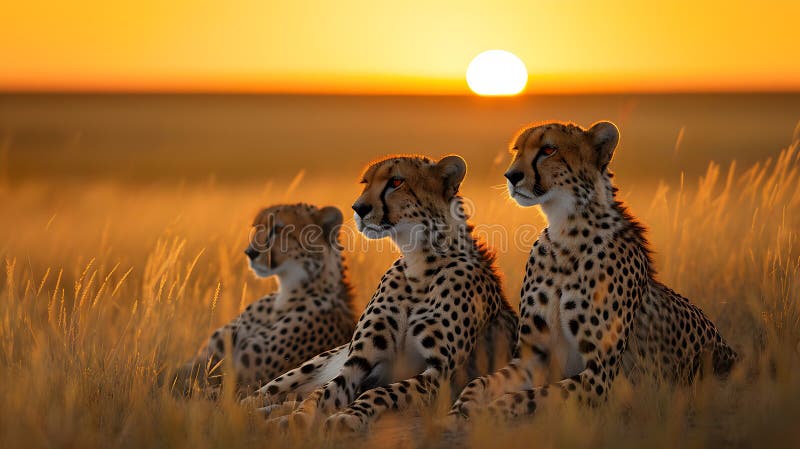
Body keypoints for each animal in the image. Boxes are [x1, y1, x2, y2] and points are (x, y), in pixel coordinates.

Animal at [246, 154, 518, 433]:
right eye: (365, 183)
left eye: (396, 181)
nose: (358, 208)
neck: (419, 265)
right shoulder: (356, 364)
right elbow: (319, 396)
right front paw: (298, 421)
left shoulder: (440, 375)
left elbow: (380, 392)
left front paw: (348, 416)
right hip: (306, 367)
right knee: (262, 395)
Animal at [446, 121, 738, 425]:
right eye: (517, 150)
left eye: (548, 150)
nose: (511, 176)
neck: (566, 234)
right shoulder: (532, 358)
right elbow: (478, 383)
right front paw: (458, 412)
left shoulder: (599, 375)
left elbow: (524, 398)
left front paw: (483, 415)